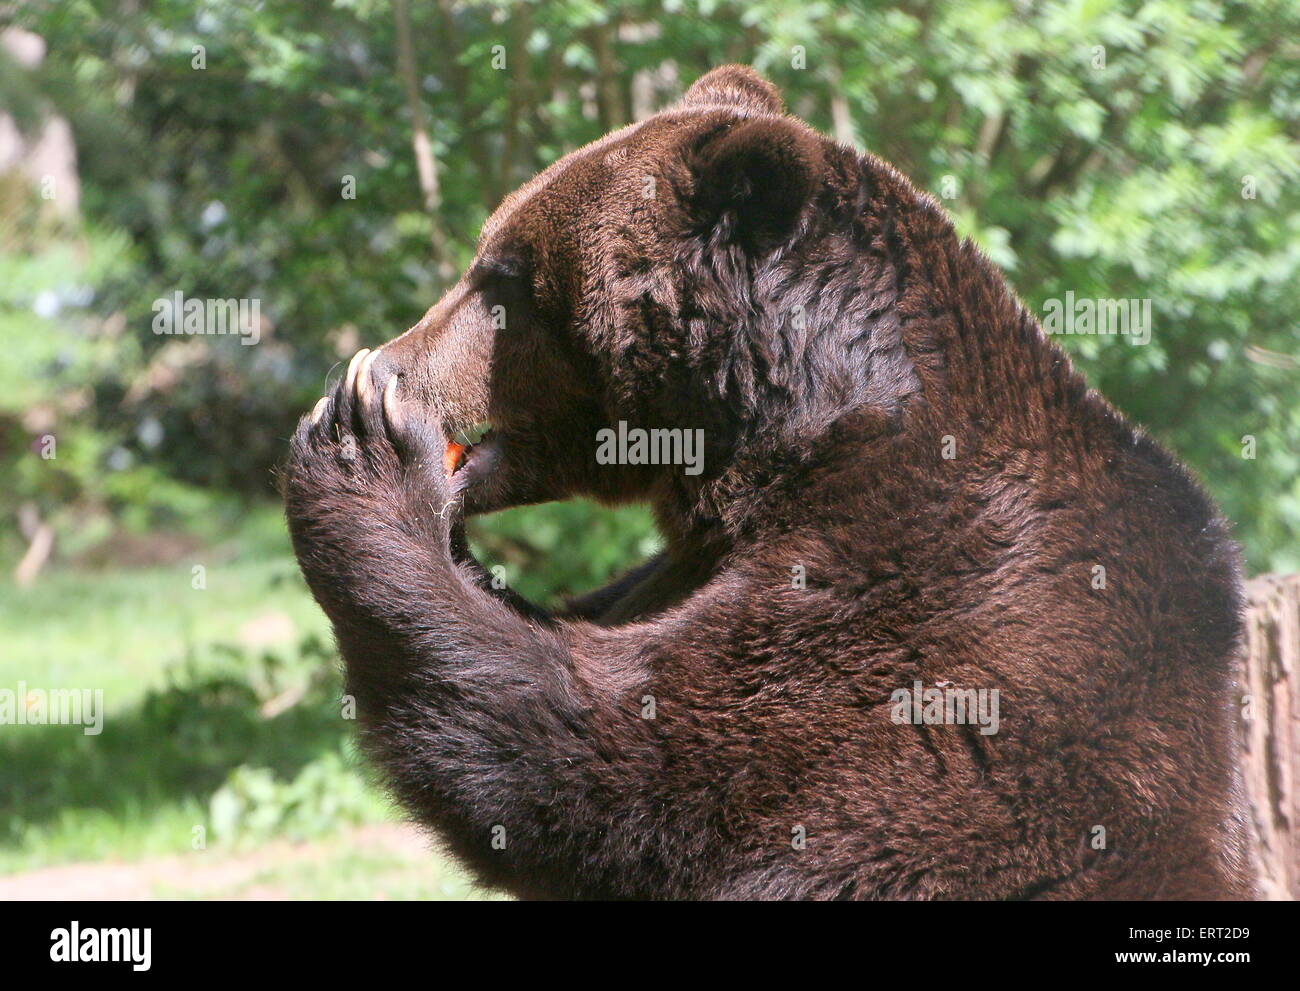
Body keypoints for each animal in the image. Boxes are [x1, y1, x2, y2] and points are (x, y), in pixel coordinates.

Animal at [282, 65, 1255, 900]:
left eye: (505, 281)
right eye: (490, 259)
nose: (392, 363)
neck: (781, 440)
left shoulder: (921, 606)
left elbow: (616, 752)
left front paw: (360, 445)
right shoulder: (703, 562)